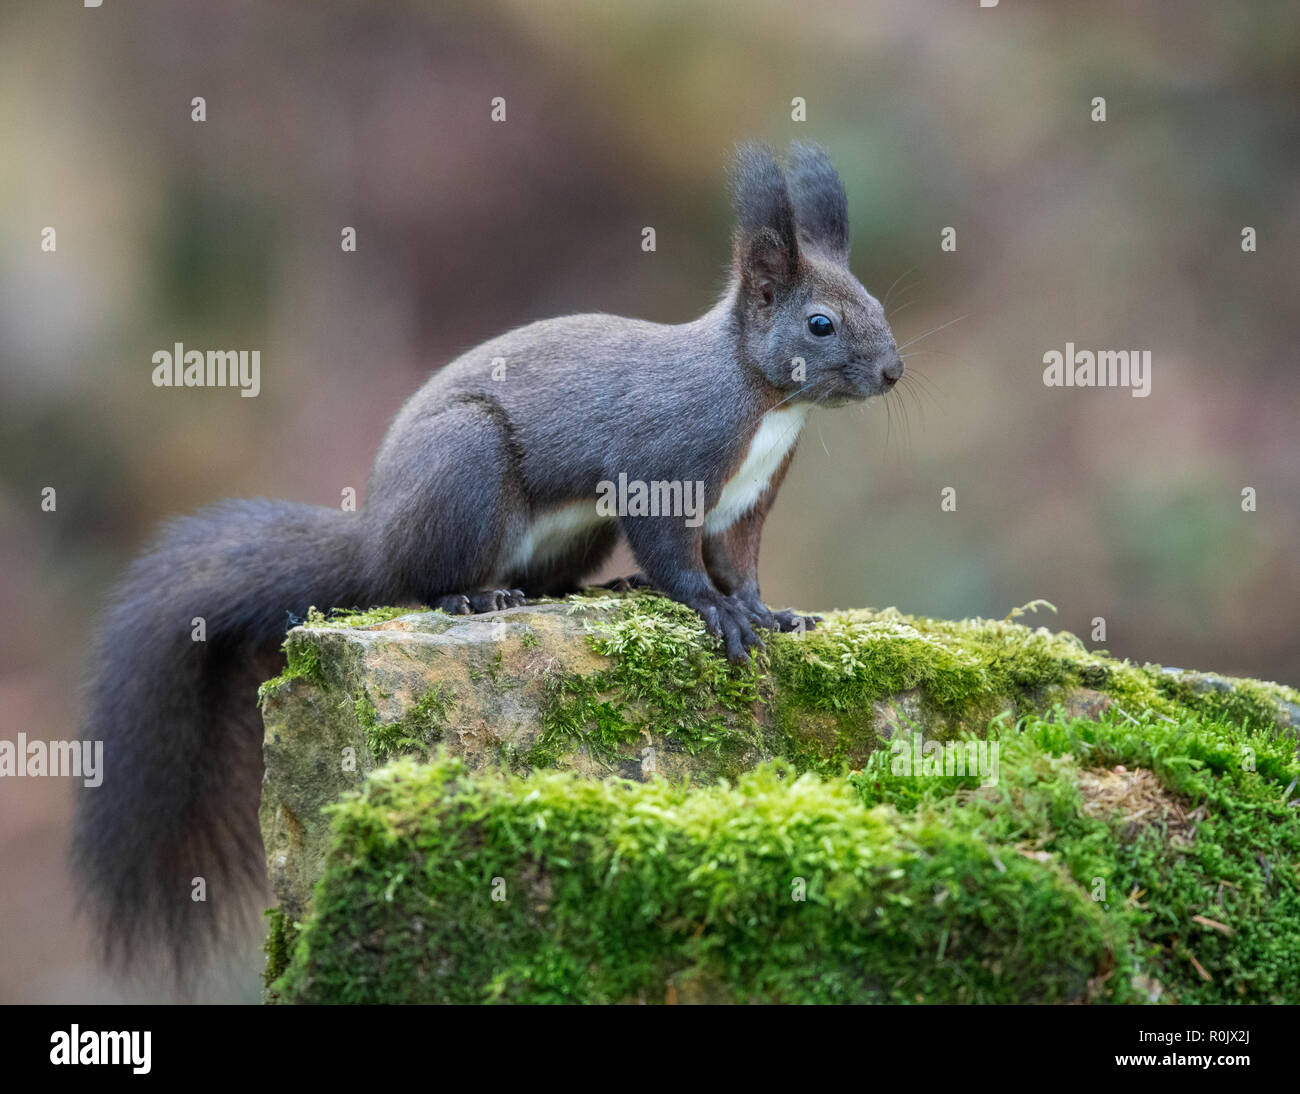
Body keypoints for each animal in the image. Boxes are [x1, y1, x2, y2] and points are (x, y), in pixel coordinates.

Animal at [72, 142, 903, 977]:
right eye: (820, 324)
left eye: (878, 303)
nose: (894, 372)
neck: (764, 402)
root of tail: (377, 534)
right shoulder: (660, 466)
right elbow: (680, 556)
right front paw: (716, 612)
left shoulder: (747, 500)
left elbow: (740, 562)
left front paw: (769, 611)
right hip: (466, 469)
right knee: (421, 582)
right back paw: (474, 599)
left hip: (573, 528)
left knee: (540, 577)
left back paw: (584, 587)